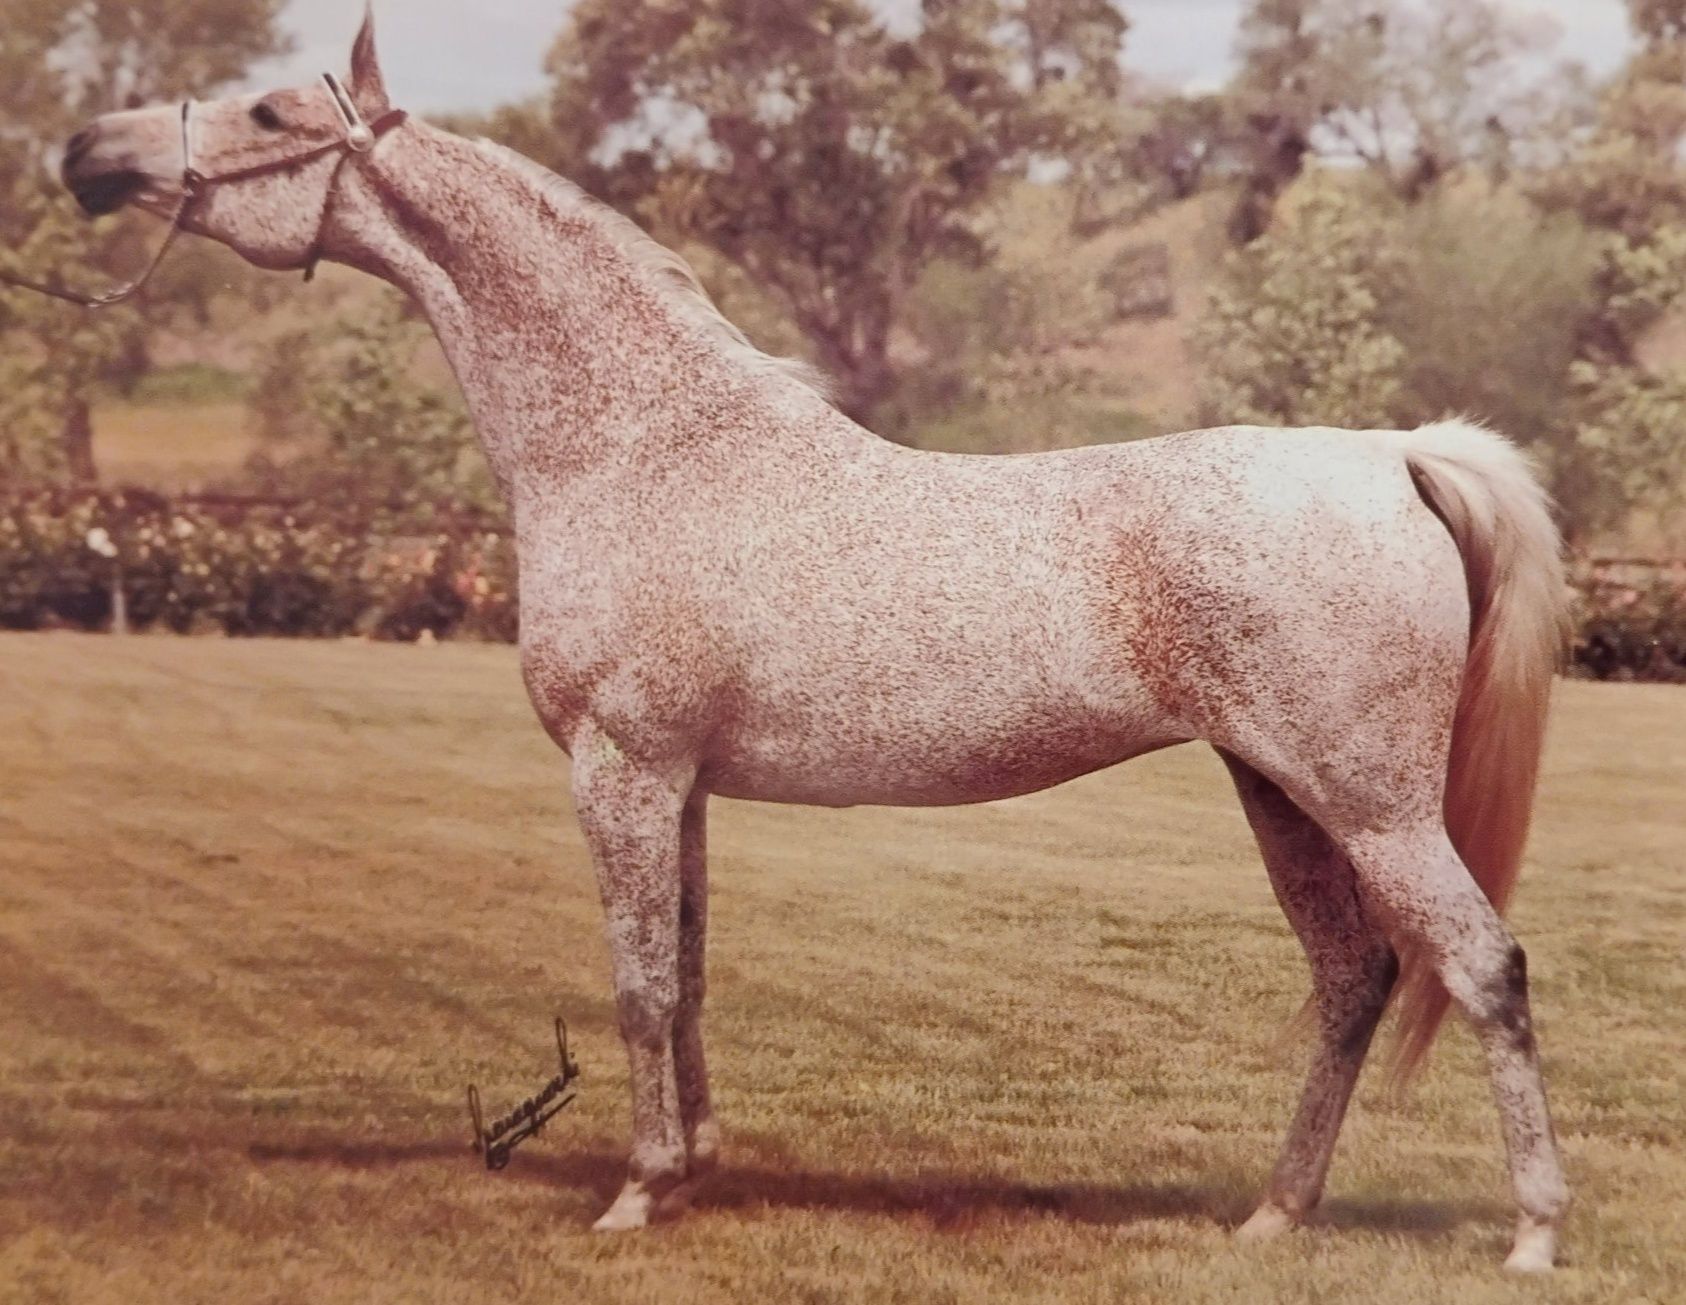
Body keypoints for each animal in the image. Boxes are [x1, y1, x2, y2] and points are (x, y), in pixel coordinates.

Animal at [50, 11, 1570, 1271]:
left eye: (264, 111)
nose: (79, 151)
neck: (641, 446)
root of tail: (1389, 454)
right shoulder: (681, 786)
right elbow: (689, 970)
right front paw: (691, 1169)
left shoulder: (620, 769)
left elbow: (637, 984)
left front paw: (634, 1192)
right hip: (1280, 792)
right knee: (1352, 979)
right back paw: (1273, 1214)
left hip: (1368, 800)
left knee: (1481, 967)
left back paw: (1533, 1235)